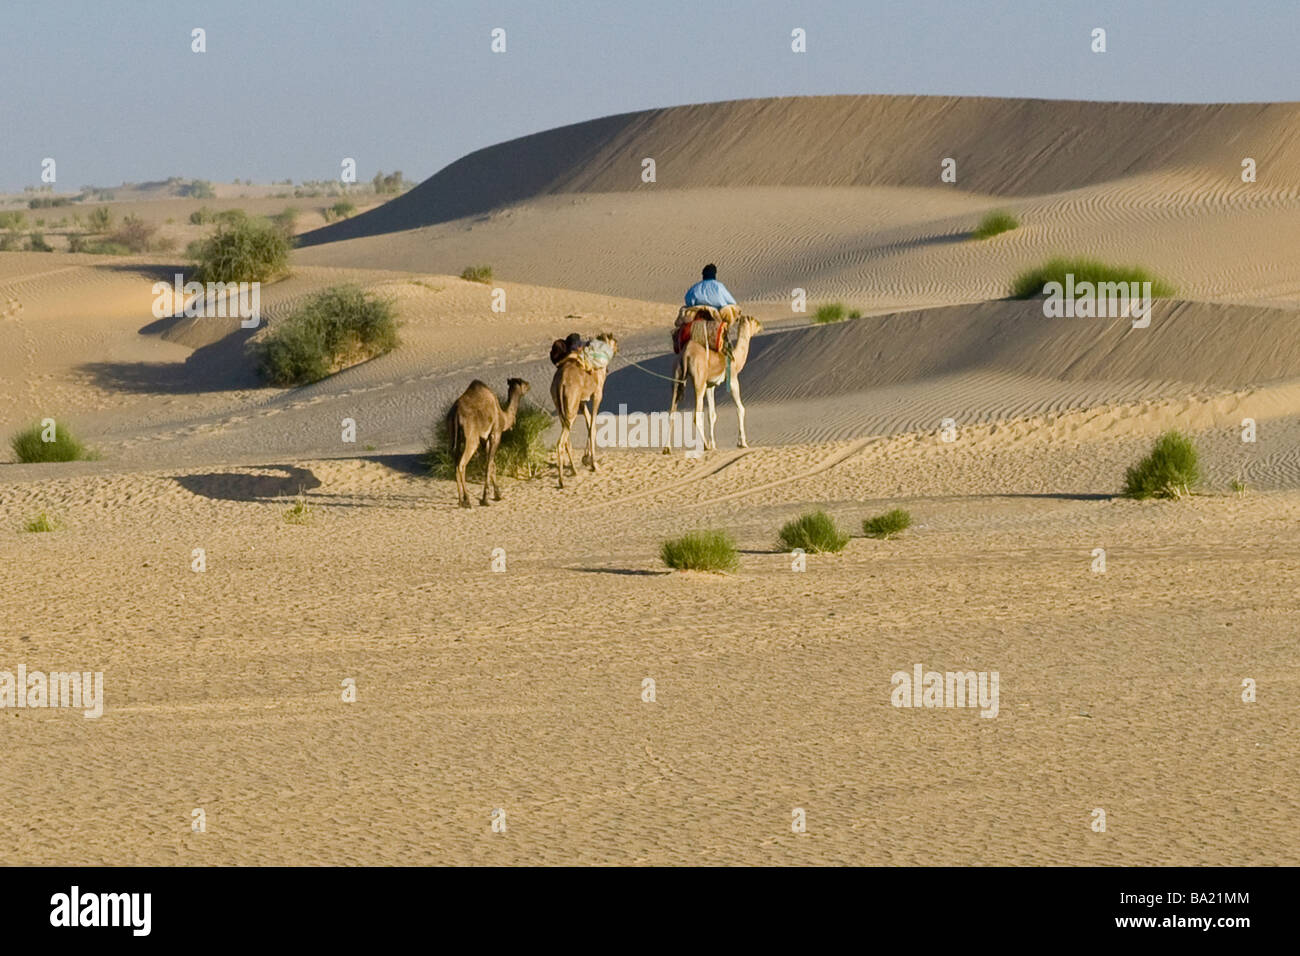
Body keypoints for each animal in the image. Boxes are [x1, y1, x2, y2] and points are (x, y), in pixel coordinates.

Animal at [446, 377, 530, 507]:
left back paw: (460, 500)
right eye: (523, 382)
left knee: (455, 463)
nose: (529, 384)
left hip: (454, 437)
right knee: (462, 464)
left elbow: (492, 465)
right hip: (472, 438)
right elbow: (489, 464)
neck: (504, 417)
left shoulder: (484, 440)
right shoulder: (495, 434)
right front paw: (485, 499)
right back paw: (467, 500)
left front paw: (498, 495)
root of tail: (455, 413)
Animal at [550, 334, 619, 488]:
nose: (617, 348)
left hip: (561, 407)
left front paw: (586, 459)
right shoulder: (597, 394)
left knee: (566, 438)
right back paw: (561, 480)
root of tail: (560, 383)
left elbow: (589, 424)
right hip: (571, 406)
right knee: (560, 442)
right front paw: (594, 464)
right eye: (615, 343)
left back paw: (574, 471)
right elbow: (593, 424)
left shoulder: (582, 401)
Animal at [664, 314, 762, 453]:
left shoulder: (710, 385)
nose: (761, 326)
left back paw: (667, 448)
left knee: (672, 412)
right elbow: (740, 408)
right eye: (754, 320)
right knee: (696, 416)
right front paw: (742, 443)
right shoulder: (732, 378)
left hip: (677, 377)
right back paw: (706, 446)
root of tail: (685, 354)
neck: (736, 358)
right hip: (699, 381)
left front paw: (714, 444)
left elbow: (712, 415)